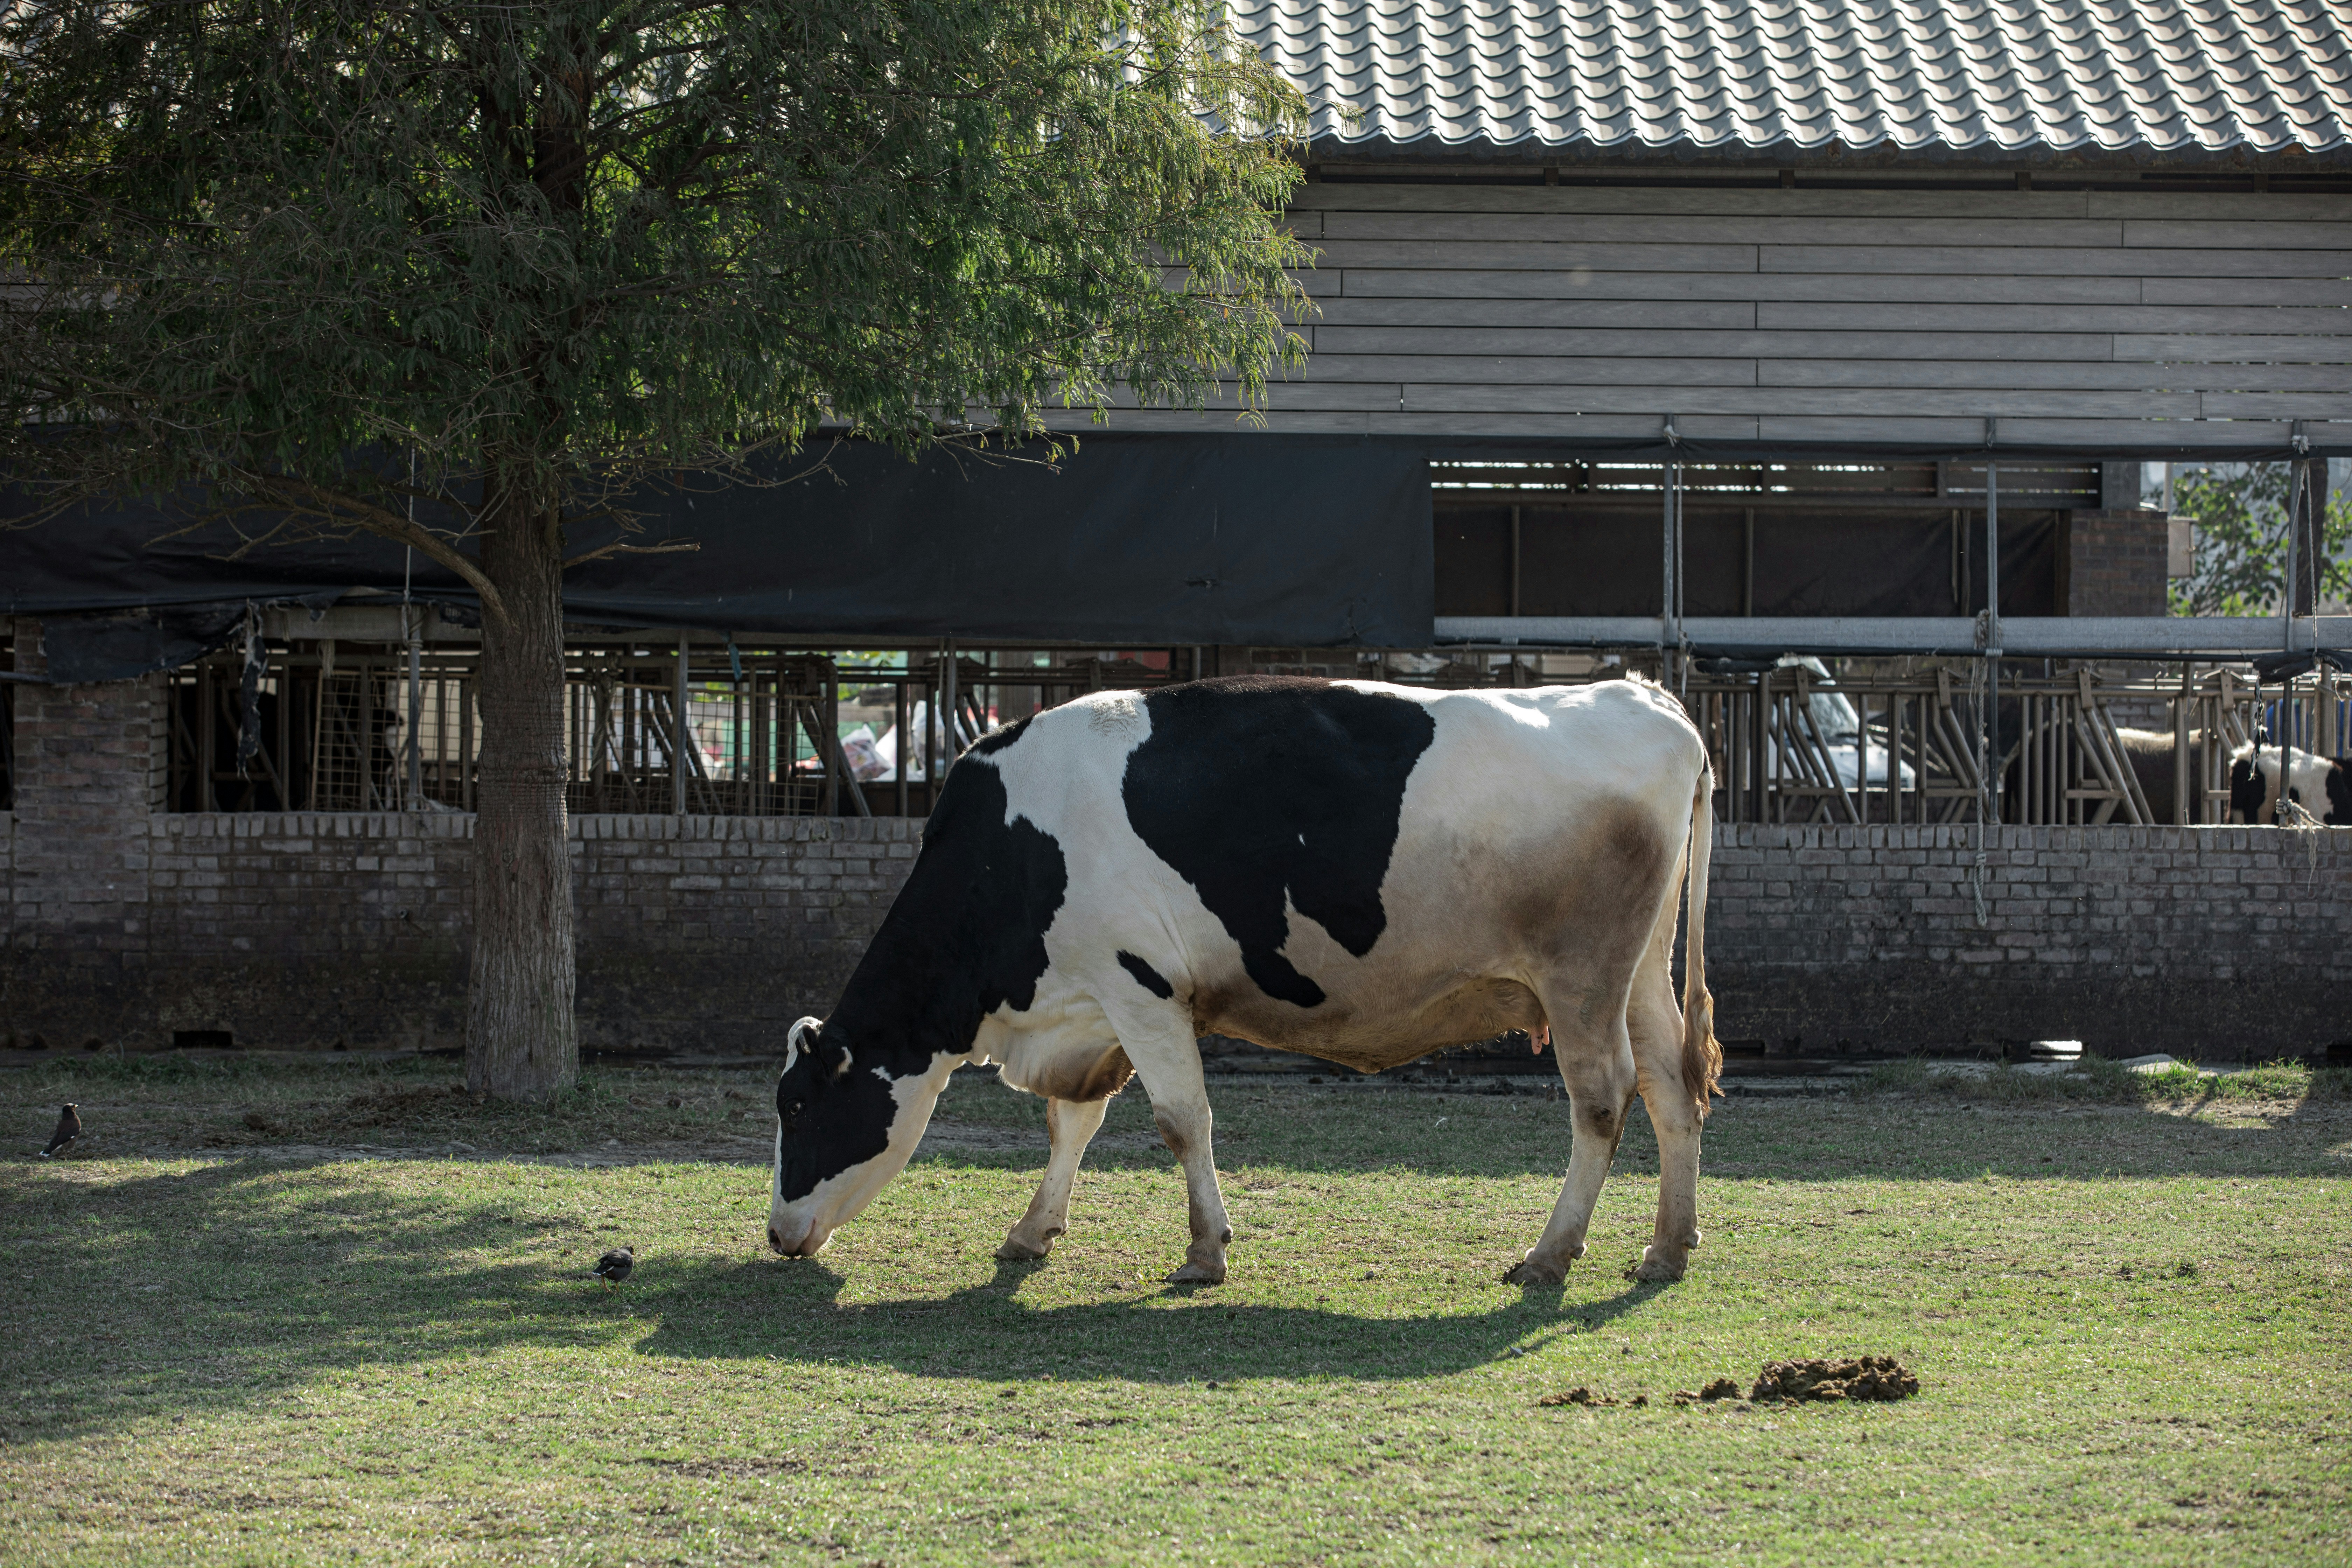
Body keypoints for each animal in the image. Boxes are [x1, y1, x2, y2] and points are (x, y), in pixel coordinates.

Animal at [767, 674, 1721, 1287]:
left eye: (800, 1107)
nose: (777, 1234)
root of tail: (1643, 693)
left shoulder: (1139, 985)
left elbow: (1180, 1121)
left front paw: (1204, 1251)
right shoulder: (1091, 1004)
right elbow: (1072, 1121)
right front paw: (1033, 1231)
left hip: (1581, 975)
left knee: (1604, 1098)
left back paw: (1552, 1253)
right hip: (1641, 972)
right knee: (1672, 1088)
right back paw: (1667, 1248)